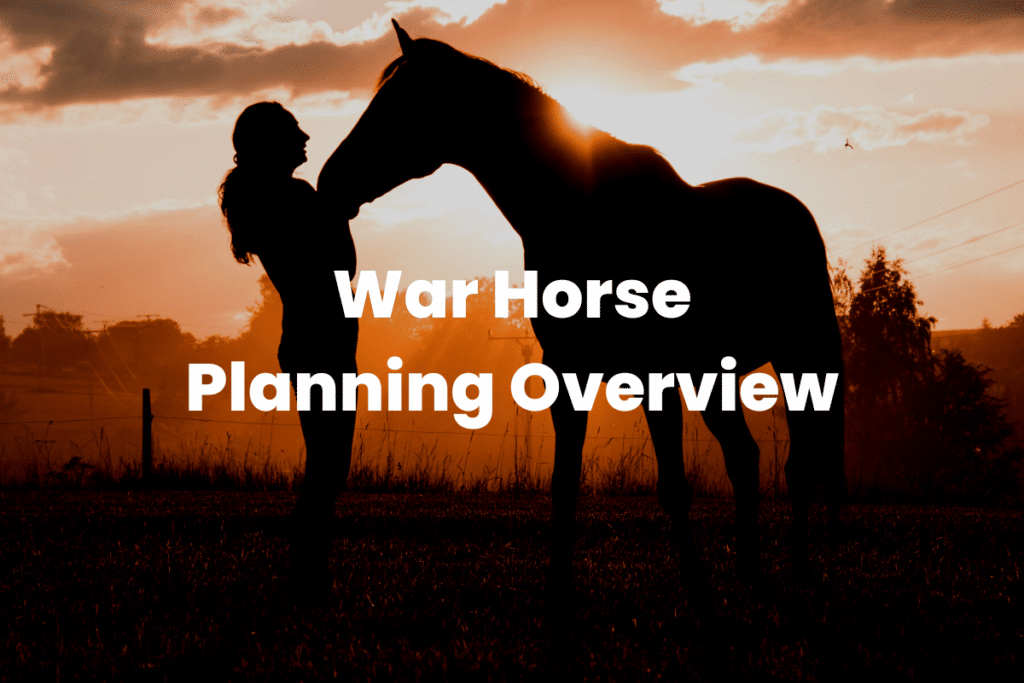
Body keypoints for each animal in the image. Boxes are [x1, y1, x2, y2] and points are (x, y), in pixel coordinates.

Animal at [319, 21, 845, 592]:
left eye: (404, 102)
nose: (331, 180)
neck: (586, 217)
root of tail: (790, 209)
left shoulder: (654, 375)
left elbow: (674, 486)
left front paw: (694, 583)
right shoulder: (569, 370)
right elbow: (564, 481)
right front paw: (558, 582)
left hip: (803, 360)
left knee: (798, 467)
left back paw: (796, 572)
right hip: (714, 375)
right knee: (746, 458)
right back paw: (750, 572)